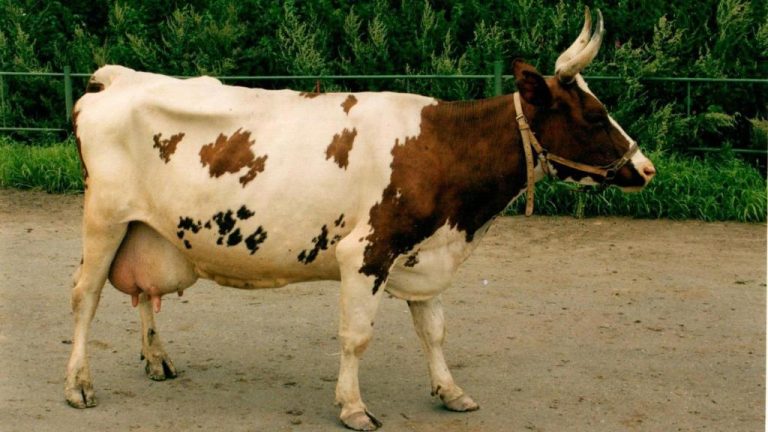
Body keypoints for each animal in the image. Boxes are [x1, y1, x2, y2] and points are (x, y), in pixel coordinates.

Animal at [65, 8, 655, 430]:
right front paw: (352, 407)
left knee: (143, 292)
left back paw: (157, 359)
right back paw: (78, 385)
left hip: (147, 228)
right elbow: (356, 337)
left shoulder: (426, 253)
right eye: (596, 115)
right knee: (85, 296)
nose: (646, 168)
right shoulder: (366, 252)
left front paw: (450, 391)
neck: (440, 148)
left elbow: (435, 331)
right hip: (104, 219)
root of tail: (117, 77)